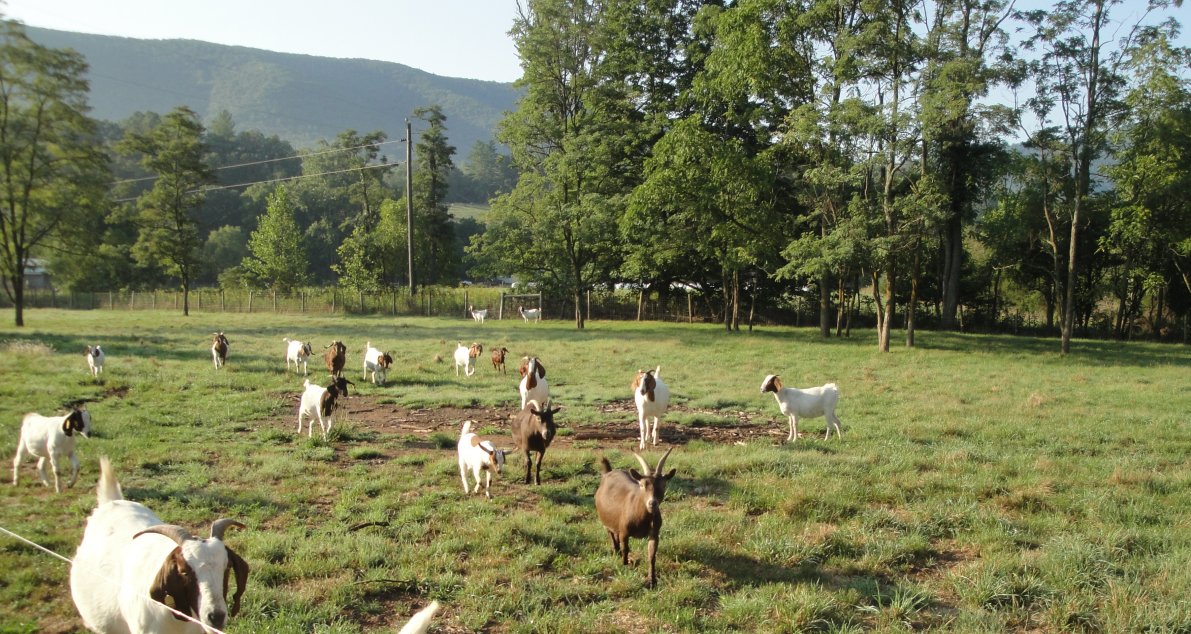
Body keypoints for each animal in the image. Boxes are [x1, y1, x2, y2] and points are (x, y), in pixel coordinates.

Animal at [595, 448, 676, 588]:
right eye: (642, 485)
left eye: (663, 485)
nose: (652, 503)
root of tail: (608, 472)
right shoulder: (624, 532)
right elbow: (625, 549)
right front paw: (625, 565)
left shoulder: (654, 533)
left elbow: (652, 556)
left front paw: (652, 580)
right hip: (605, 520)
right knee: (611, 533)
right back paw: (616, 551)